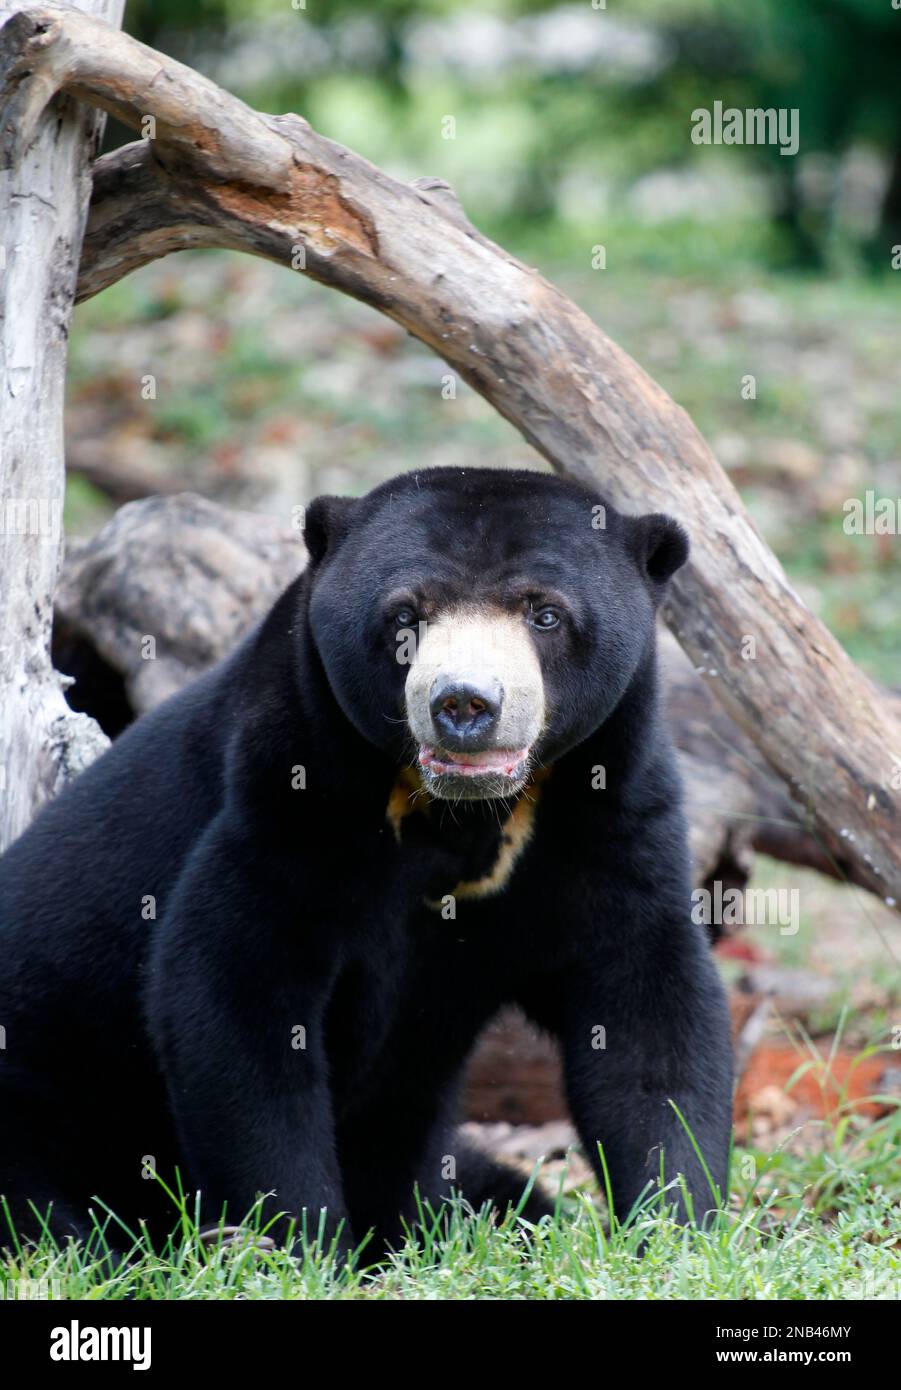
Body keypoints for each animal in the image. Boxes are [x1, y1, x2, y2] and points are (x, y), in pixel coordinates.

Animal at [0, 466, 733, 1258]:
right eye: (404, 617)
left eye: (545, 614)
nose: (464, 705)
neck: (463, 813)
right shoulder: (283, 802)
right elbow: (233, 998)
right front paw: (302, 1244)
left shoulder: (610, 817)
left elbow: (647, 1010)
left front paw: (674, 1230)